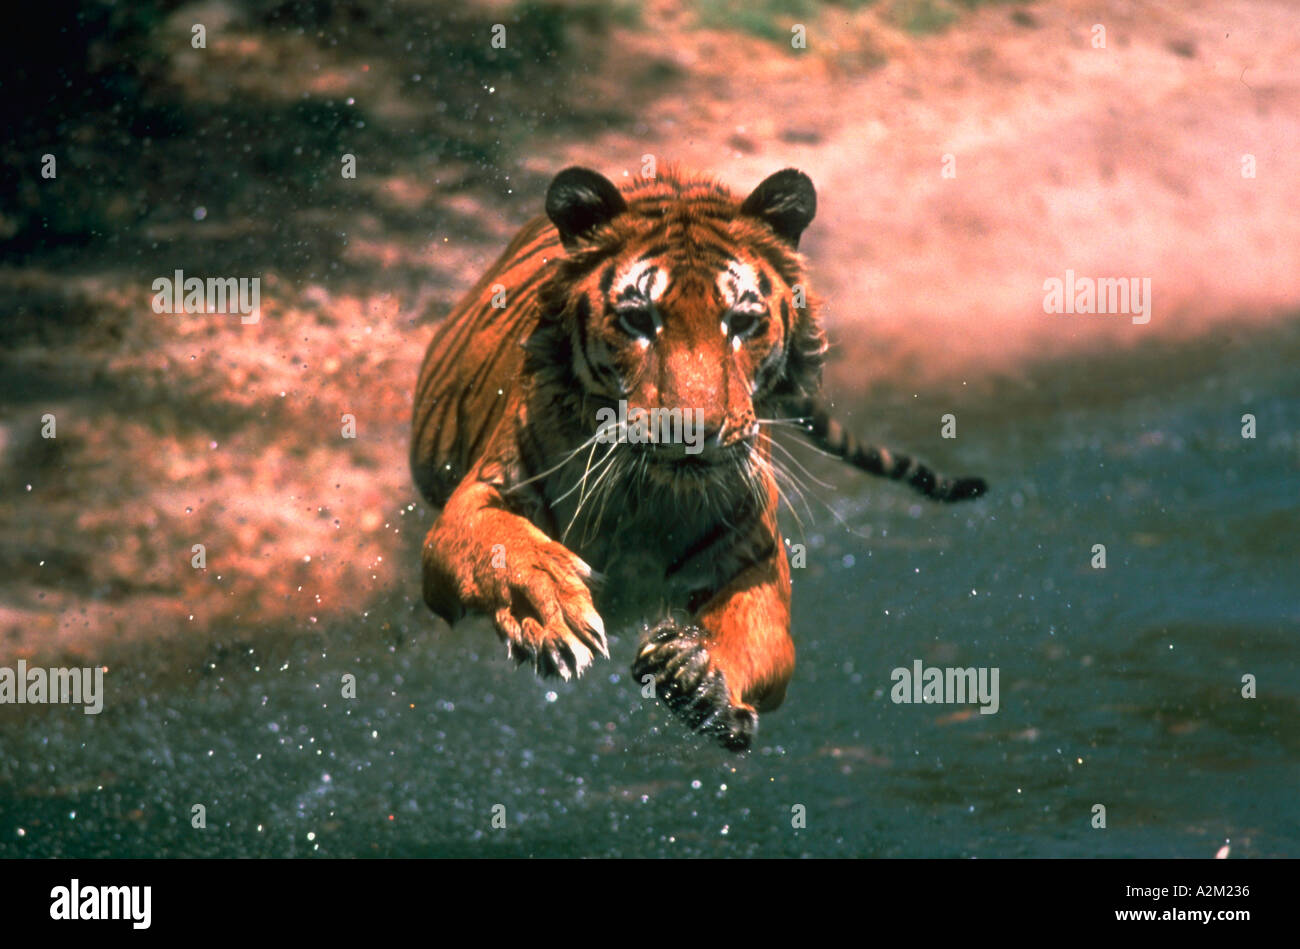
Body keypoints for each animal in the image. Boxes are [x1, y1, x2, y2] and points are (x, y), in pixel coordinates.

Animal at [411, 165, 986, 750]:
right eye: (637, 320)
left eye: (743, 322)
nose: (692, 430)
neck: (645, 498)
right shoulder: (478, 498)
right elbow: (504, 546)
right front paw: (554, 614)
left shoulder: (757, 559)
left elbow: (755, 631)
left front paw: (698, 670)